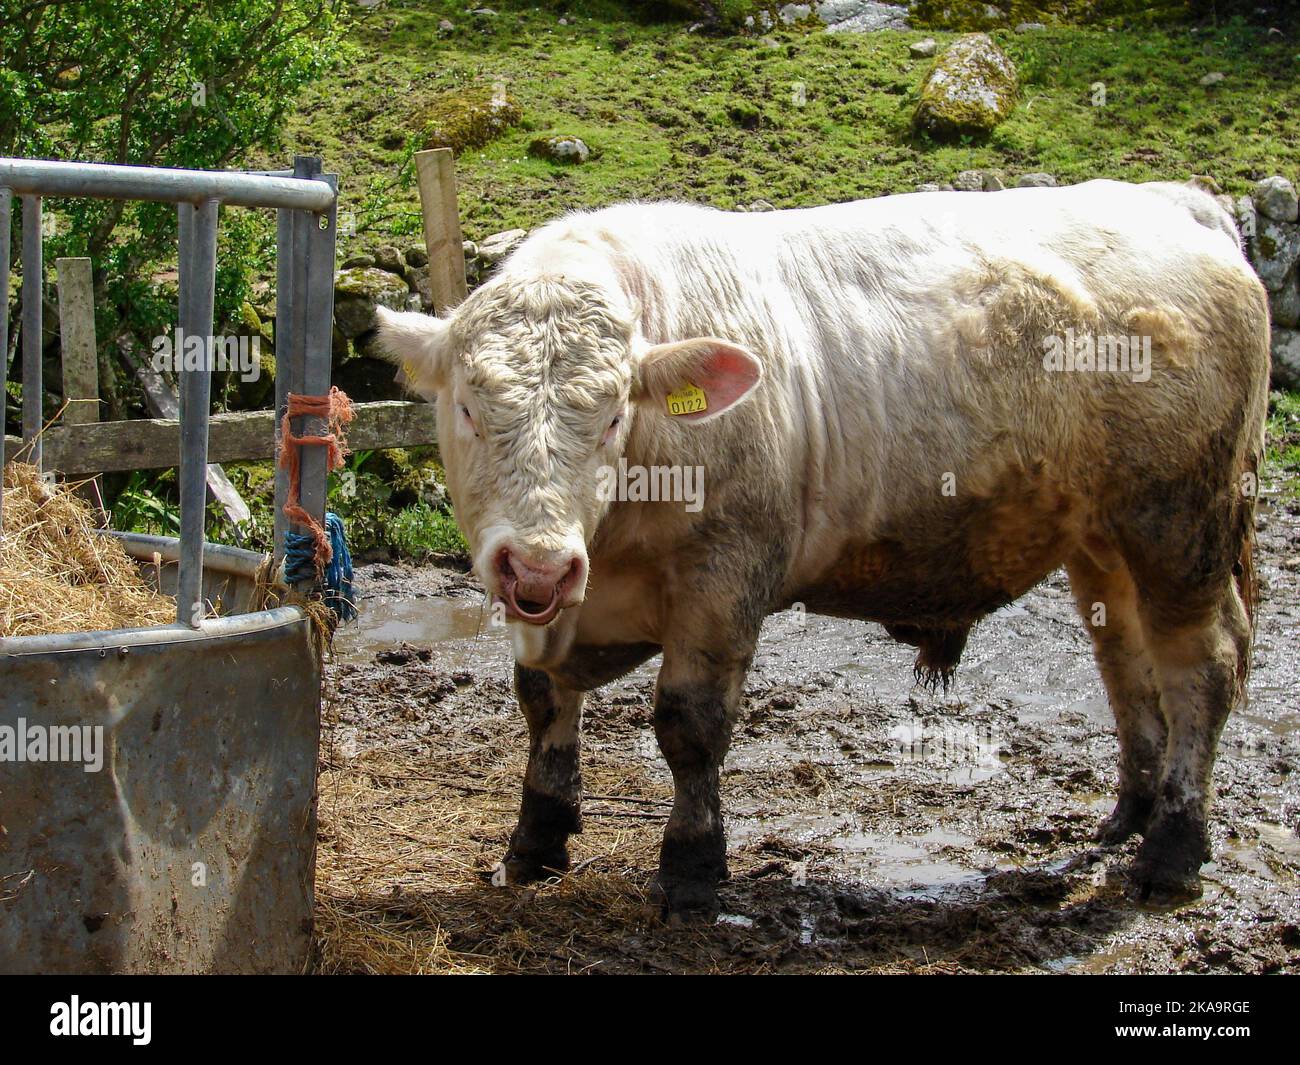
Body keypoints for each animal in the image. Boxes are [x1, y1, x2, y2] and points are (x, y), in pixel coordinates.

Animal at [377, 178, 1269, 921]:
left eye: (612, 416)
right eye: (466, 406)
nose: (538, 562)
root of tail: (1176, 200)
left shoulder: (726, 573)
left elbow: (689, 723)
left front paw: (692, 868)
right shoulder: (560, 604)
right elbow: (543, 697)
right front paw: (535, 839)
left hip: (1182, 522)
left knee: (1201, 664)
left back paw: (1172, 849)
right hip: (1105, 539)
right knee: (1126, 660)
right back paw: (1132, 813)